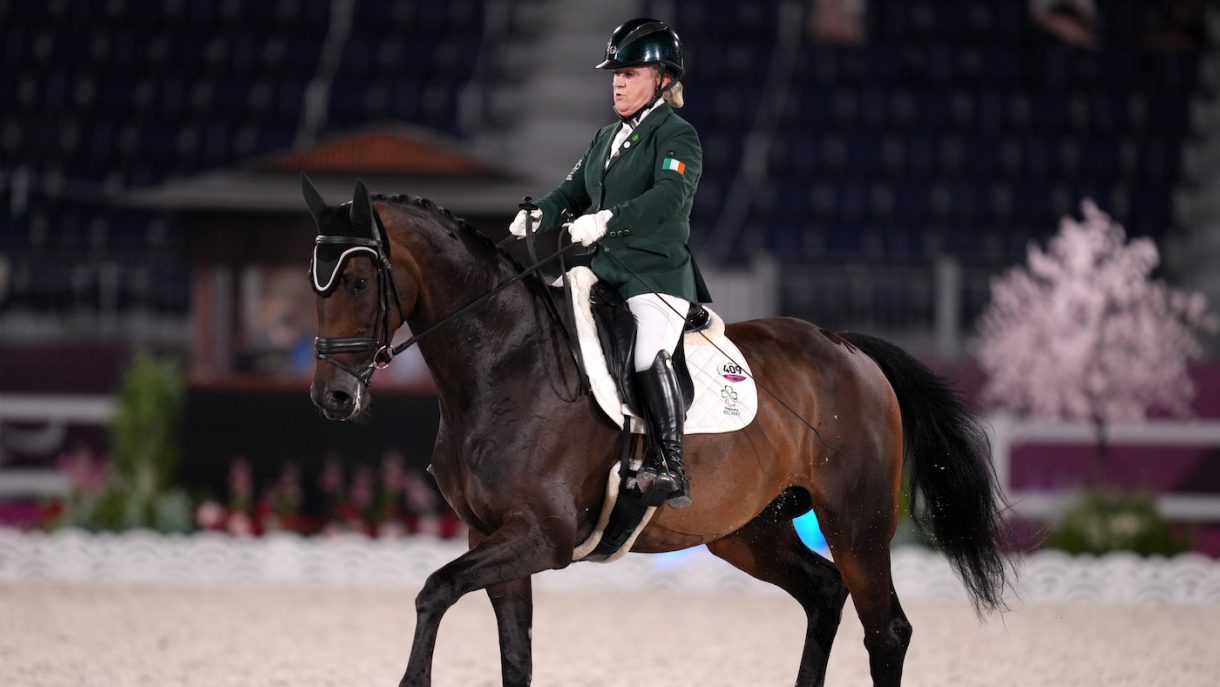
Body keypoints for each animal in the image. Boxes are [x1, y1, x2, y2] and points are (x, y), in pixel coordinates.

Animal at [303, 177, 1012, 687]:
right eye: (316, 288)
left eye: (360, 280)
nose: (333, 396)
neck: (502, 362)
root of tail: (849, 347)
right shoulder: (491, 536)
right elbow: (514, 656)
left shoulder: (541, 537)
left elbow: (434, 591)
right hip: (748, 530)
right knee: (824, 594)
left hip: (854, 519)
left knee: (885, 629)